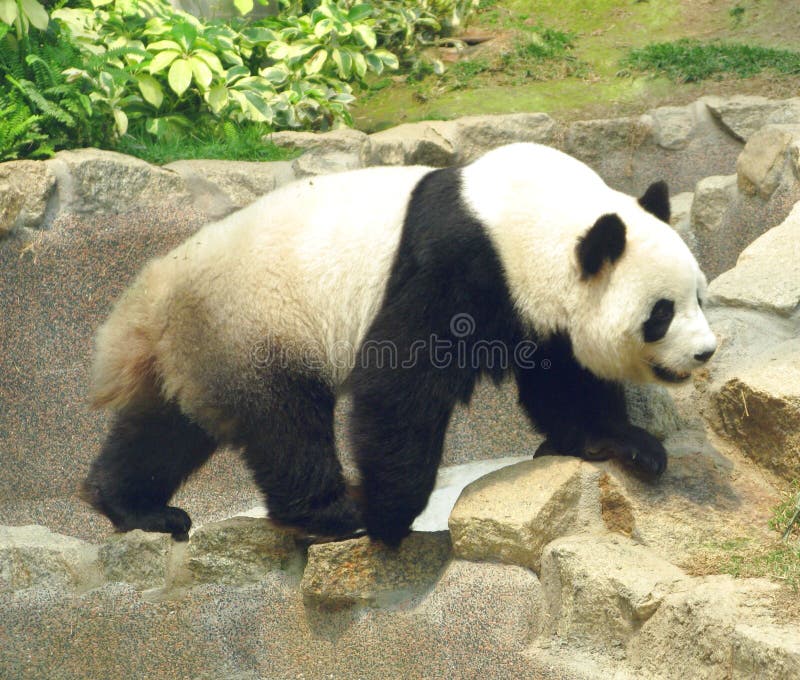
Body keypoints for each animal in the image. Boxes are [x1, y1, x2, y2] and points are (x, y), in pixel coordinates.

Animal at [82, 143, 716, 547]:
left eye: (699, 297)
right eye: (661, 314)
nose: (704, 353)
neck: (537, 219)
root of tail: (149, 297)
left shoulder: (536, 309)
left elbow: (565, 377)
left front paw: (624, 444)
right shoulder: (462, 264)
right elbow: (399, 383)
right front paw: (388, 516)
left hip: (203, 344)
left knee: (169, 427)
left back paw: (134, 506)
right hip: (253, 321)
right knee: (284, 422)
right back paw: (334, 514)